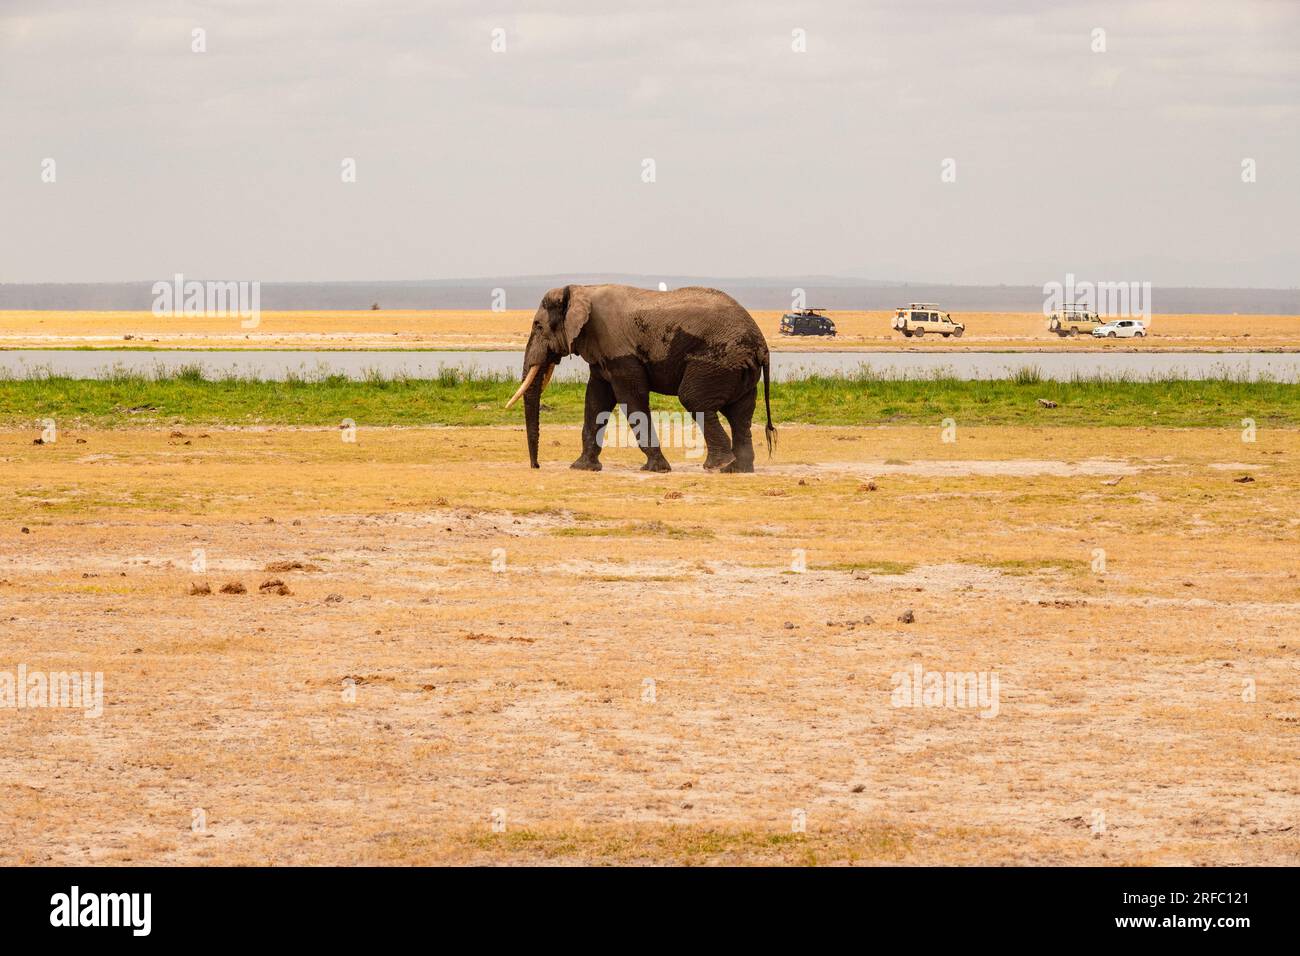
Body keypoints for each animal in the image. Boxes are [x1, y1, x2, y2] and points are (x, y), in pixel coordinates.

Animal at [506, 284, 775, 472]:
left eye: (538, 326)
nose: (536, 466)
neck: (582, 289)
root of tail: (761, 345)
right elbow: (596, 399)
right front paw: (582, 467)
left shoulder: (619, 351)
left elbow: (630, 397)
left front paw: (656, 468)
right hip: (738, 368)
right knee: (740, 413)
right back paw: (738, 468)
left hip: (717, 360)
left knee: (694, 400)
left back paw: (717, 466)